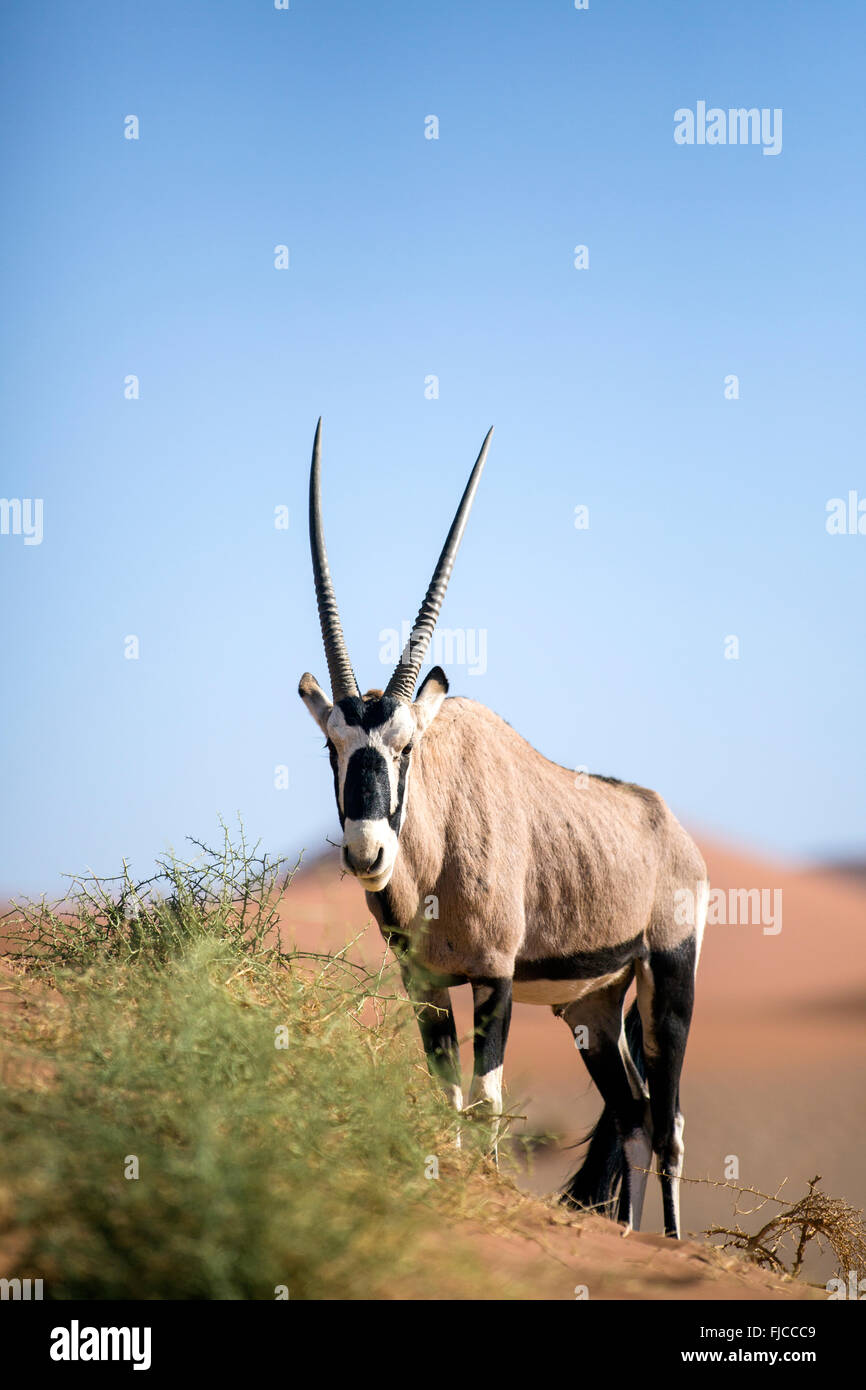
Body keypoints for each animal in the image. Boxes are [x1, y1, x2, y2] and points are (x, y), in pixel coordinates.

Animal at [298, 421, 708, 1237]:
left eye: (405, 748)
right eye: (333, 746)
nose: (366, 850)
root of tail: (669, 826)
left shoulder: (496, 977)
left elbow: (486, 1103)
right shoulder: (425, 984)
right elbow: (447, 1098)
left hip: (667, 981)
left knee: (670, 1122)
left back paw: (679, 1246)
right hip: (592, 1008)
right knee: (634, 1116)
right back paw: (626, 1235)